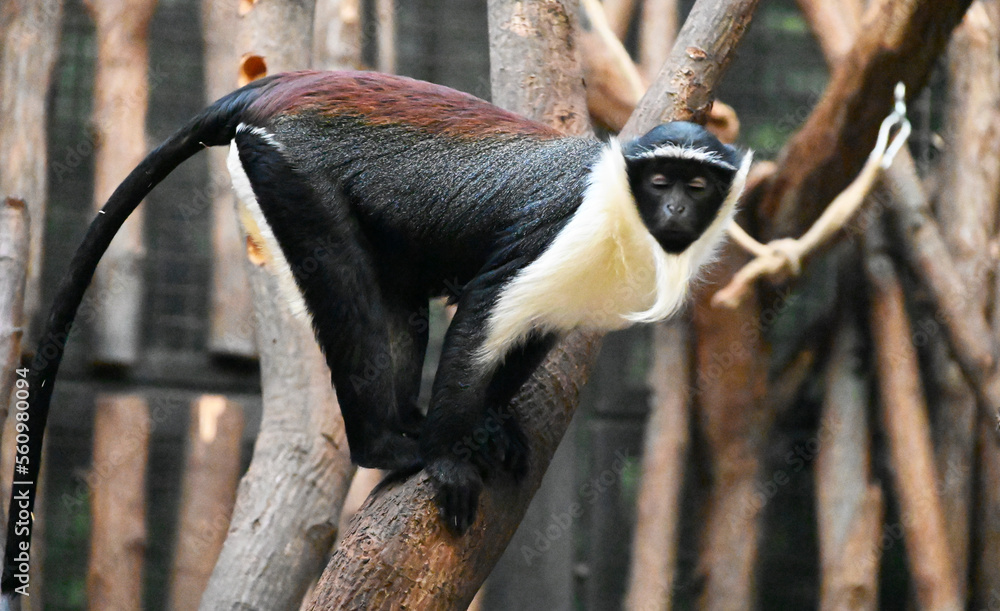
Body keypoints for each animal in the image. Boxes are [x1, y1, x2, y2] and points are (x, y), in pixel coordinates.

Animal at [3, 70, 749, 586]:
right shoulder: (554, 234)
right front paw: (449, 454)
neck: (624, 207)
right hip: (286, 169)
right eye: (659, 181)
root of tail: (276, 85)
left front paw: (490, 423)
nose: (676, 209)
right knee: (345, 290)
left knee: (398, 302)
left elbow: (522, 343)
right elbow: (481, 315)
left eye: (696, 185)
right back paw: (389, 442)